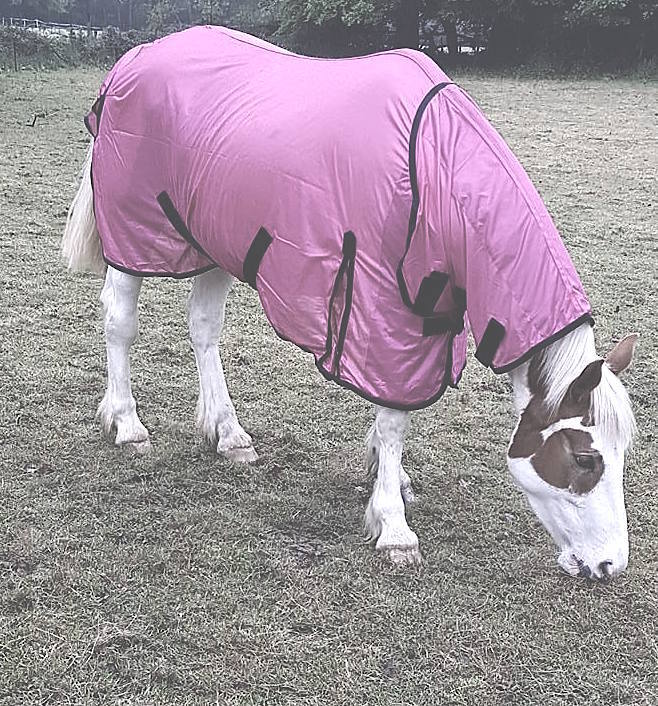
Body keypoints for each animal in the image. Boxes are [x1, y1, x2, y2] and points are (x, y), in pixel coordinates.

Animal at [62, 26, 637, 581]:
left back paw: (228, 434)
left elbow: (393, 415)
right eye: (585, 459)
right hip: (135, 232)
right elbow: (394, 418)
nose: (610, 565)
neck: (432, 169)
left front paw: (391, 478)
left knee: (203, 328)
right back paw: (127, 425)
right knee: (120, 320)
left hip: (213, 240)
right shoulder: (381, 313)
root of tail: (136, 57)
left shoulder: (426, 320)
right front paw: (394, 528)